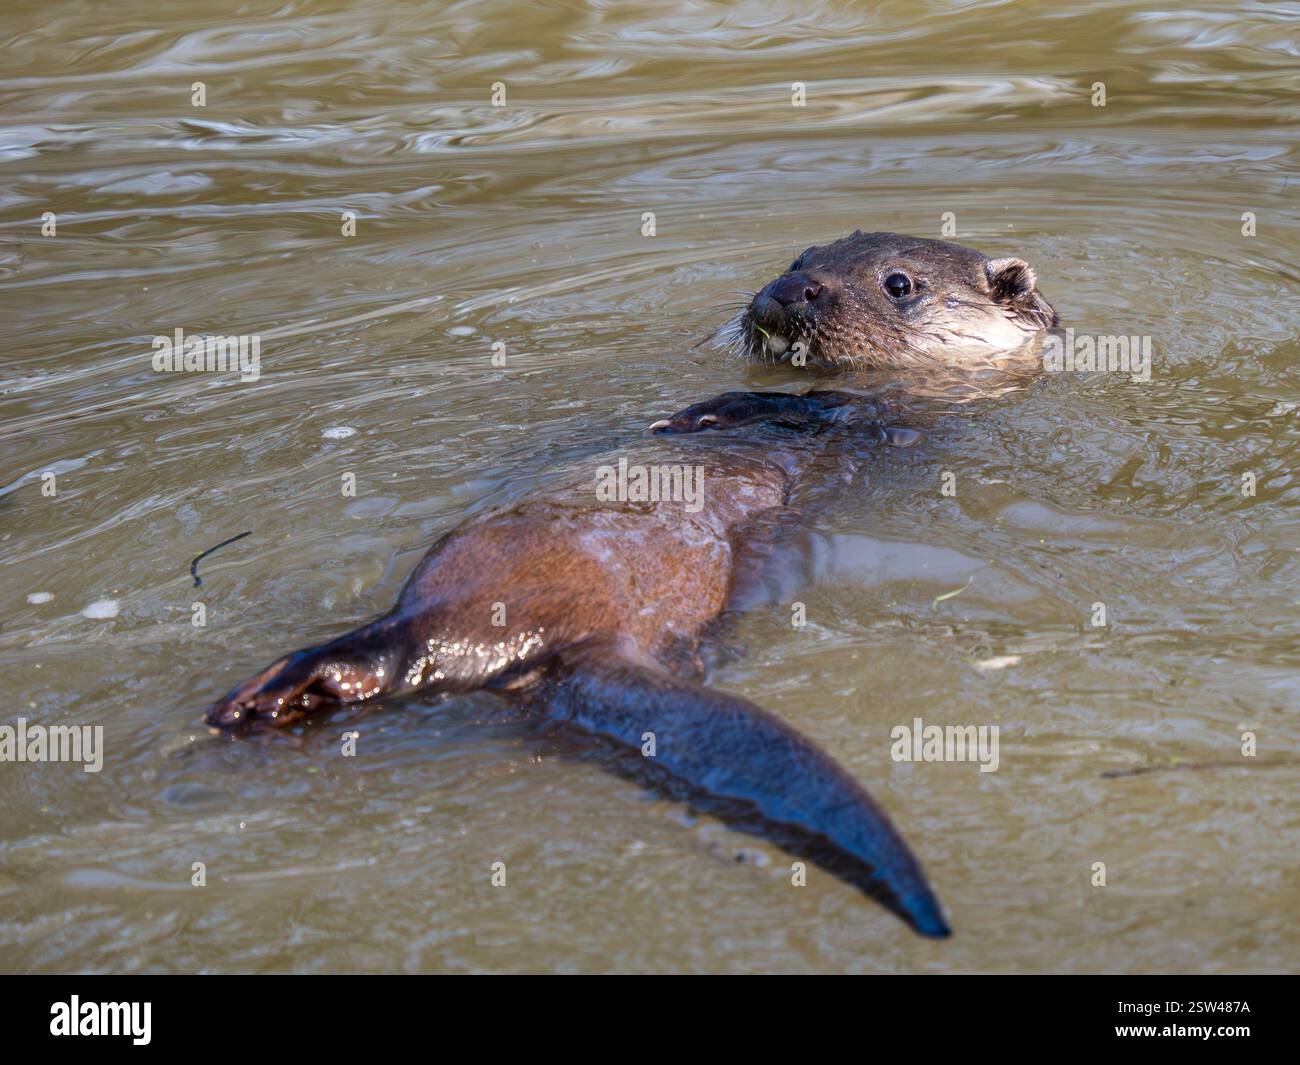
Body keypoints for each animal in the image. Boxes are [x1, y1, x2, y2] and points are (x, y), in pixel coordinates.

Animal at [206, 232, 1057, 938]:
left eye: (899, 283)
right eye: (802, 255)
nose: (794, 289)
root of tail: (603, 645)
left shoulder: (862, 417)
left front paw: (692, 415)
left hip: (495, 577)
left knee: (402, 644)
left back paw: (275, 691)